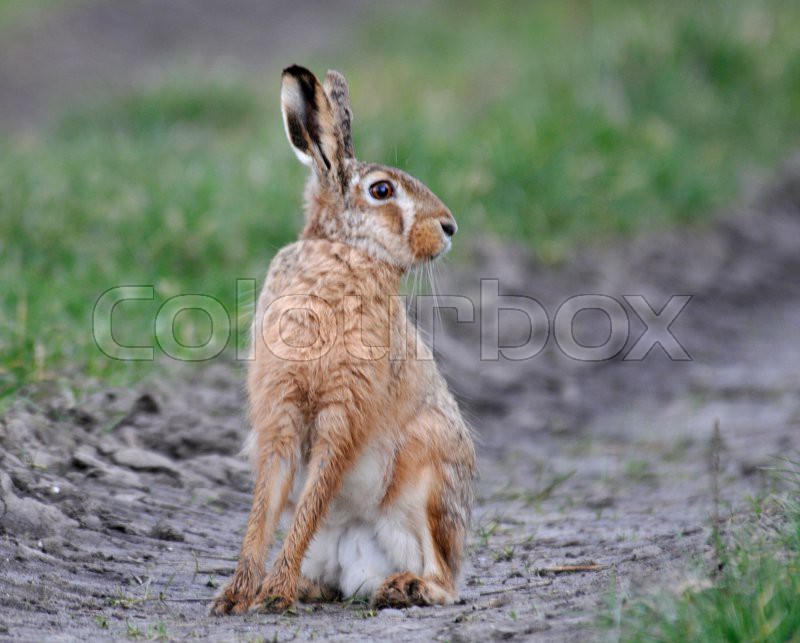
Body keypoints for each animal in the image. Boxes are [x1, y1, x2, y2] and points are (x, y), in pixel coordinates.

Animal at [212, 65, 475, 615]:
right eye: (381, 191)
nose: (449, 228)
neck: (345, 254)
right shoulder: (280, 406)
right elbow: (266, 505)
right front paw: (237, 595)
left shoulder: (344, 409)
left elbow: (315, 493)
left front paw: (273, 595)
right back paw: (311, 586)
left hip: (427, 478)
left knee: (446, 579)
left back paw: (405, 587)